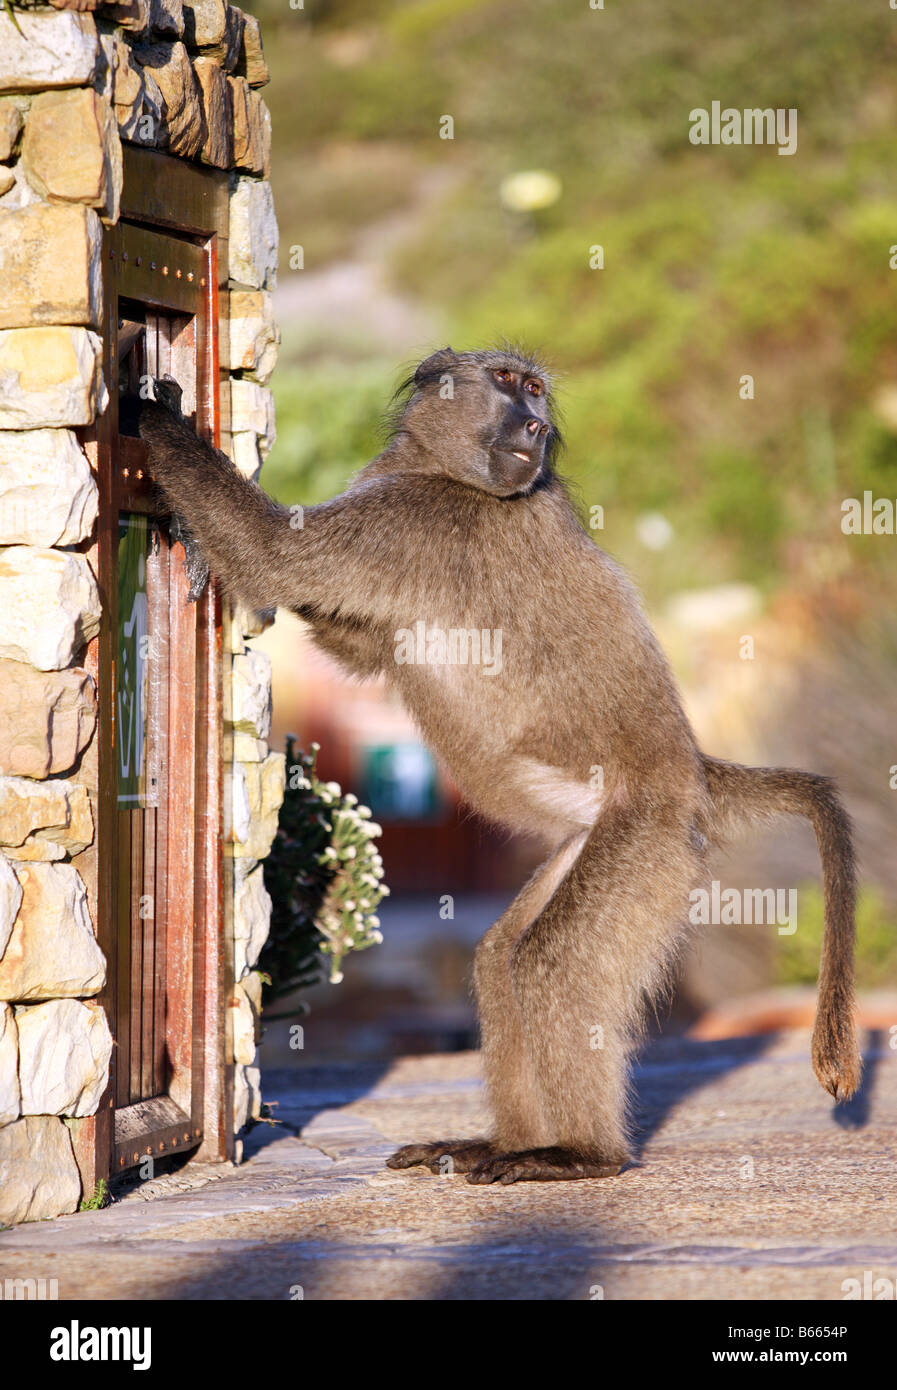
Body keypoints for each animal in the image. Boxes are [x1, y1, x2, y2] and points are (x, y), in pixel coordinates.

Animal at [133, 345, 861, 1185]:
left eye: (537, 393)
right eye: (514, 385)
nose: (537, 428)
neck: (434, 467)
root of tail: (695, 772)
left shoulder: (422, 519)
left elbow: (275, 553)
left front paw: (154, 414)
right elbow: (348, 641)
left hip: (649, 837)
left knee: (549, 966)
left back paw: (580, 1156)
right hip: (595, 840)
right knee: (499, 960)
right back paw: (504, 1141)